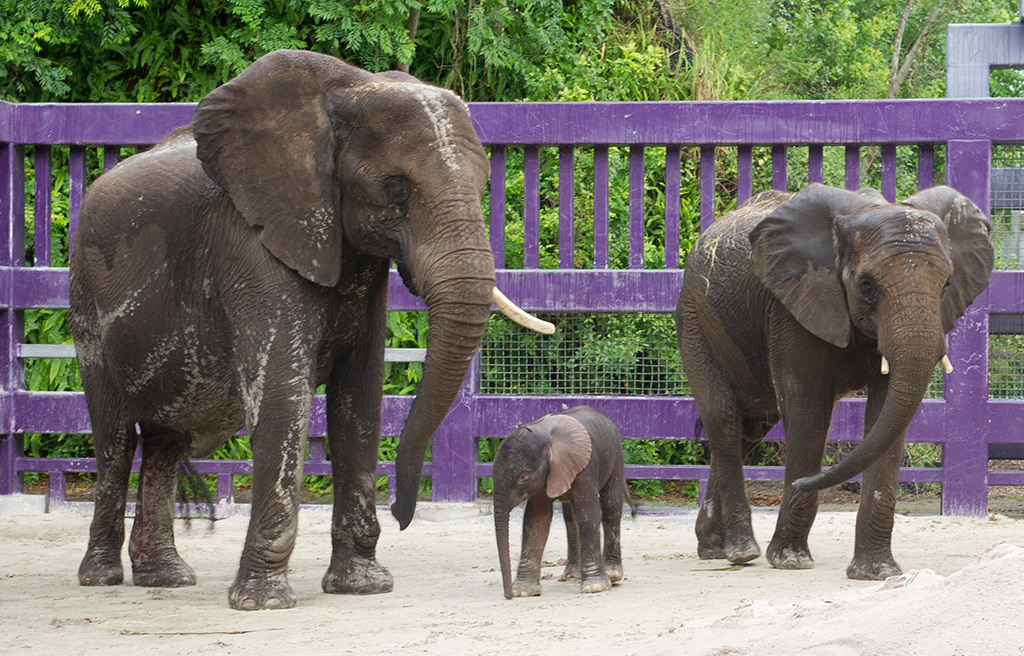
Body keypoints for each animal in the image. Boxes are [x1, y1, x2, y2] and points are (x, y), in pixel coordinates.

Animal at [69, 49, 552, 611]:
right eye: (396, 189)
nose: (402, 515)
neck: (349, 88)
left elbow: (359, 401)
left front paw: (363, 586)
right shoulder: (253, 246)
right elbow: (283, 396)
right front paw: (263, 602)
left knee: (166, 442)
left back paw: (165, 576)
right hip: (86, 302)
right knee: (114, 438)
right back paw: (102, 576)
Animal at [491, 406, 634, 598]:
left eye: (523, 476)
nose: (508, 596)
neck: (545, 436)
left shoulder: (585, 466)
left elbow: (588, 513)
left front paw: (595, 587)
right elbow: (536, 519)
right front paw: (523, 591)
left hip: (616, 457)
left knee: (611, 507)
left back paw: (612, 574)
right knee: (570, 519)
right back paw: (573, 574)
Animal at [675, 184, 992, 580]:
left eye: (947, 284)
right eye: (867, 286)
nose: (799, 483)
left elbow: (885, 418)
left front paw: (877, 573)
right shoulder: (792, 305)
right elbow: (808, 411)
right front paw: (790, 561)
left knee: (747, 431)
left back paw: (714, 548)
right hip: (695, 319)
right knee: (724, 419)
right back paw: (742, 552)